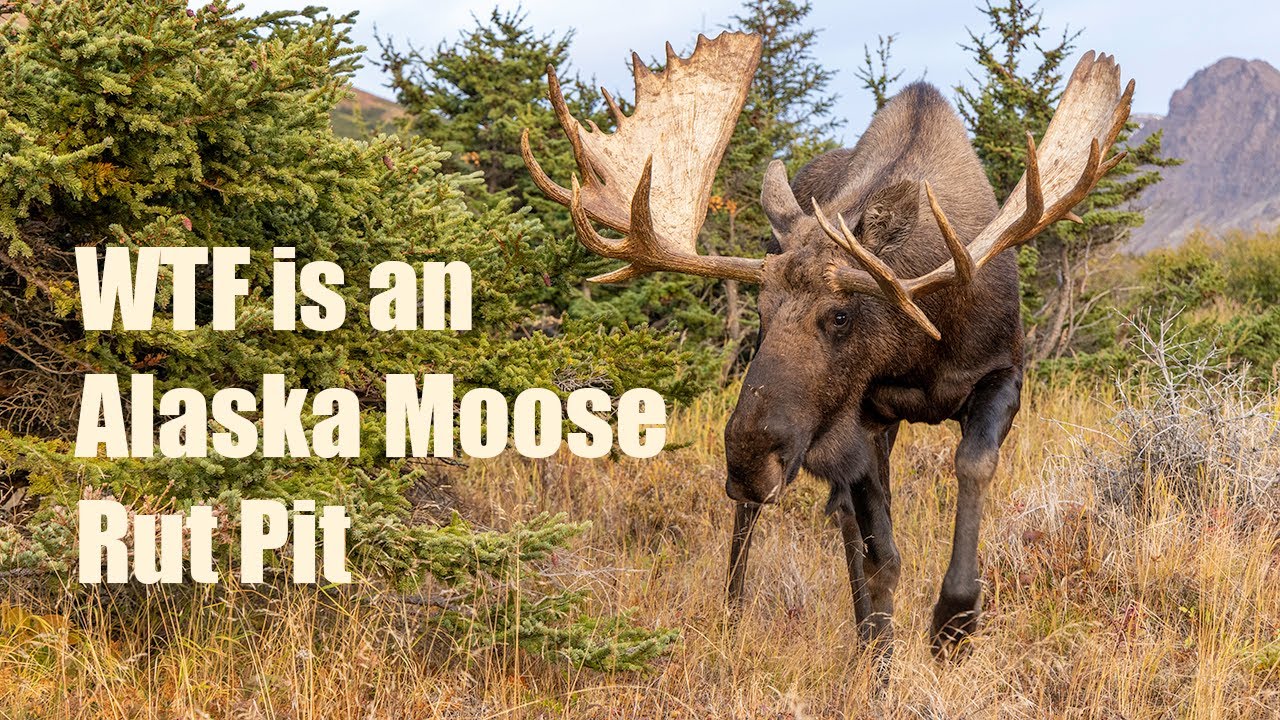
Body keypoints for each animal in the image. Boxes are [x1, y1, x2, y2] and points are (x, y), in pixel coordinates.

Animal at [521, 31, 1132, 658]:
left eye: (839, 315)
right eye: (761, 312)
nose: (747, 458)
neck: (919, 346)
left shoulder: (1001, 372)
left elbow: (973, 465)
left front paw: (954, 618)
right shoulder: (857, 421)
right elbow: (879, 556)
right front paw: (880, 655)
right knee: (784, 526)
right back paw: (738, 612)